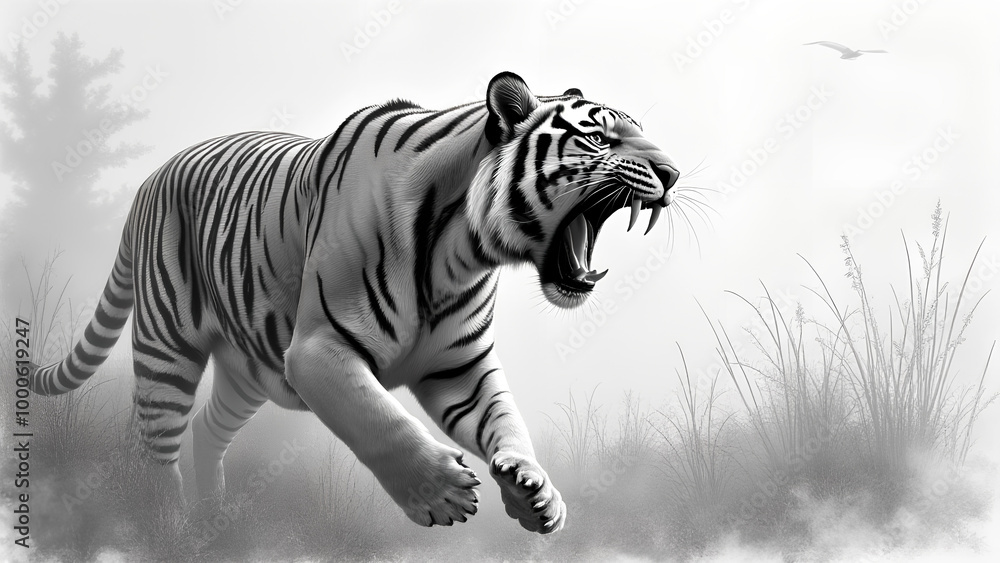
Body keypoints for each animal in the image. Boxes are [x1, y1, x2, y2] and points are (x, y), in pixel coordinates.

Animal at [29, 71, 679, 533]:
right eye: (597, 137)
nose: (672, 173)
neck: (461, 249)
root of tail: (150, 177)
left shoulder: (461, 368)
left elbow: (504, 419)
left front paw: (533, 489)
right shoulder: (318, 349)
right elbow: (378, 418)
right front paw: (440, 493)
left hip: (250, 370)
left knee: (210, 429)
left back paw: (213, 520)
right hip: (168, 350)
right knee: (157, 450)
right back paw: (167, 526)